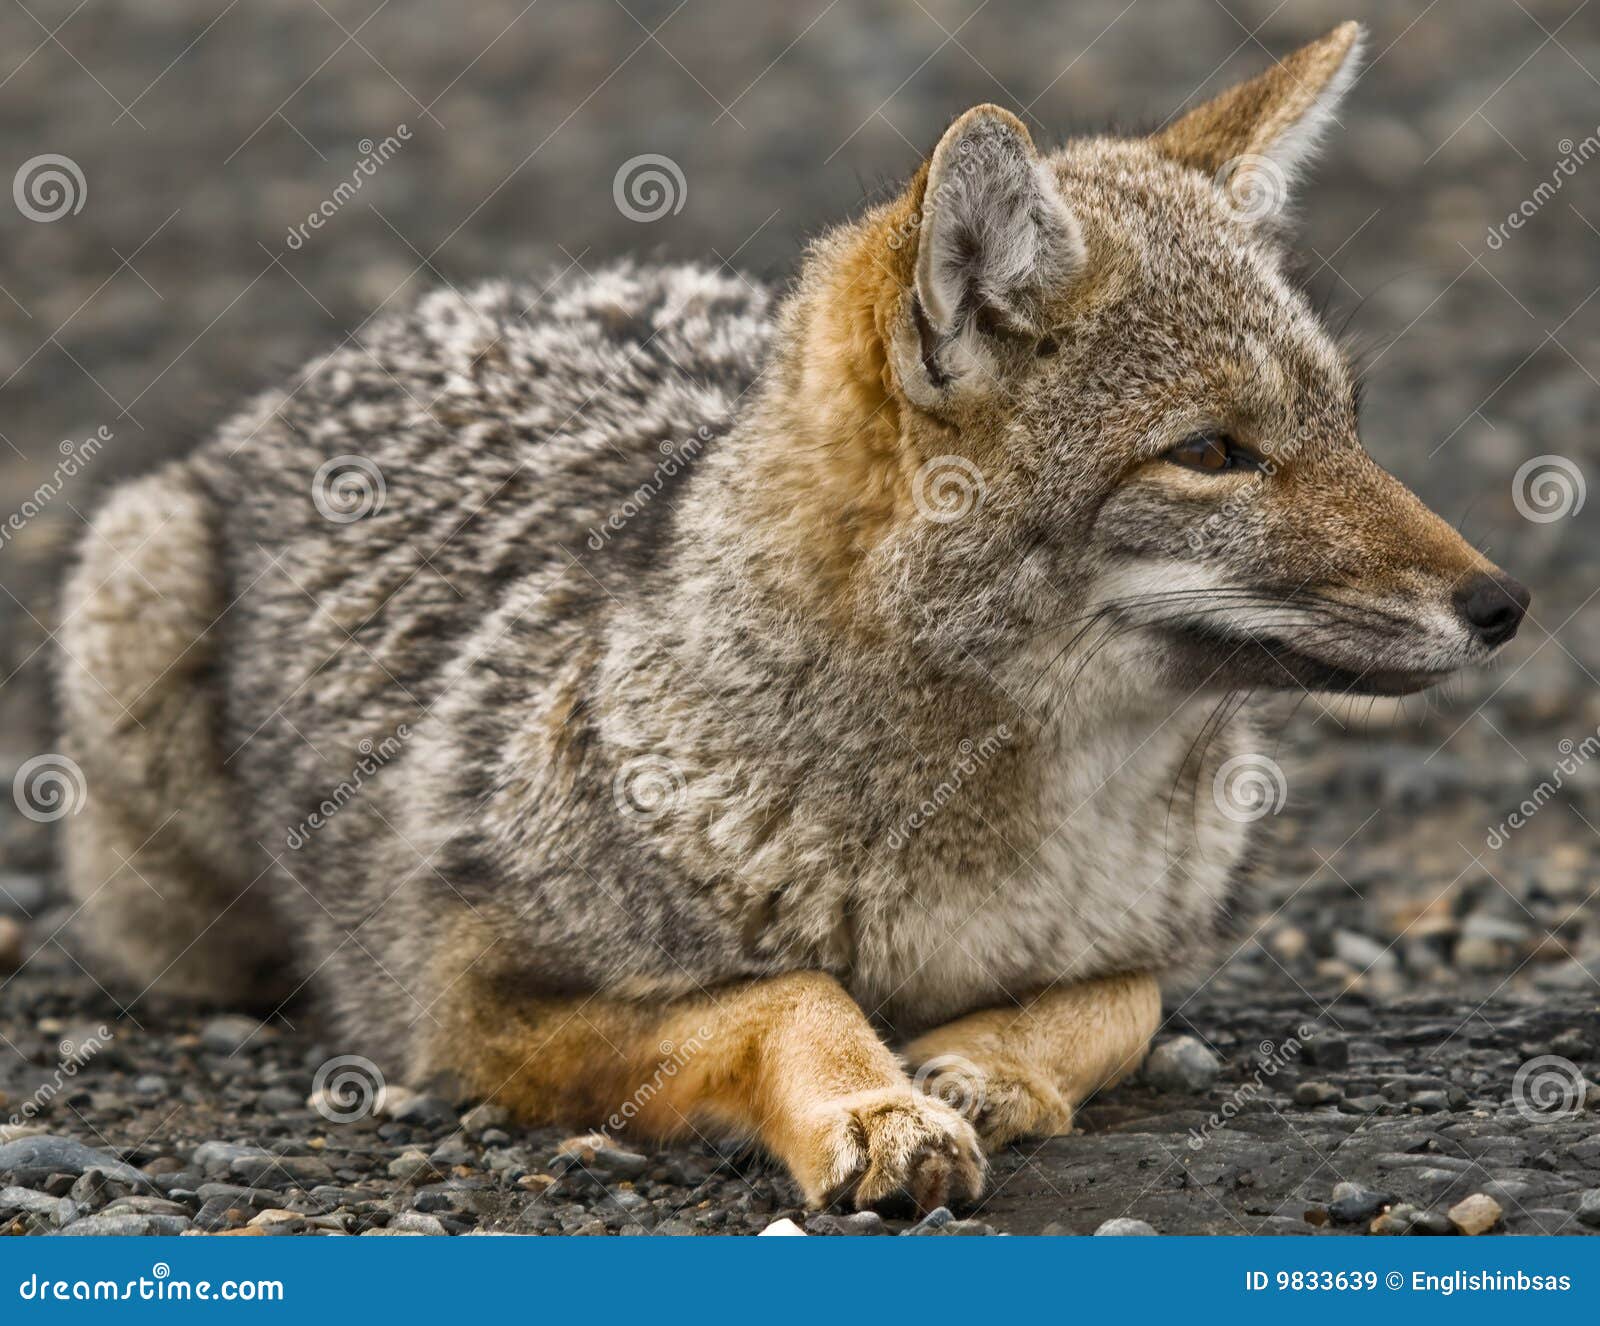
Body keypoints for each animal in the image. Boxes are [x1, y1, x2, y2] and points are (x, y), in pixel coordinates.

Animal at [57, 21, 1528, 1214]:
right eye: (1213, 452)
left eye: (1347, 425)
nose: (1505, 603)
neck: (1010, 851)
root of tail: (431, 312)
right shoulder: (474, 1007)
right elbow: (781, 993)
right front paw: (874, 1099)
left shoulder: (1136, 940)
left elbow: (1122, 994)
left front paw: (988, 1062)